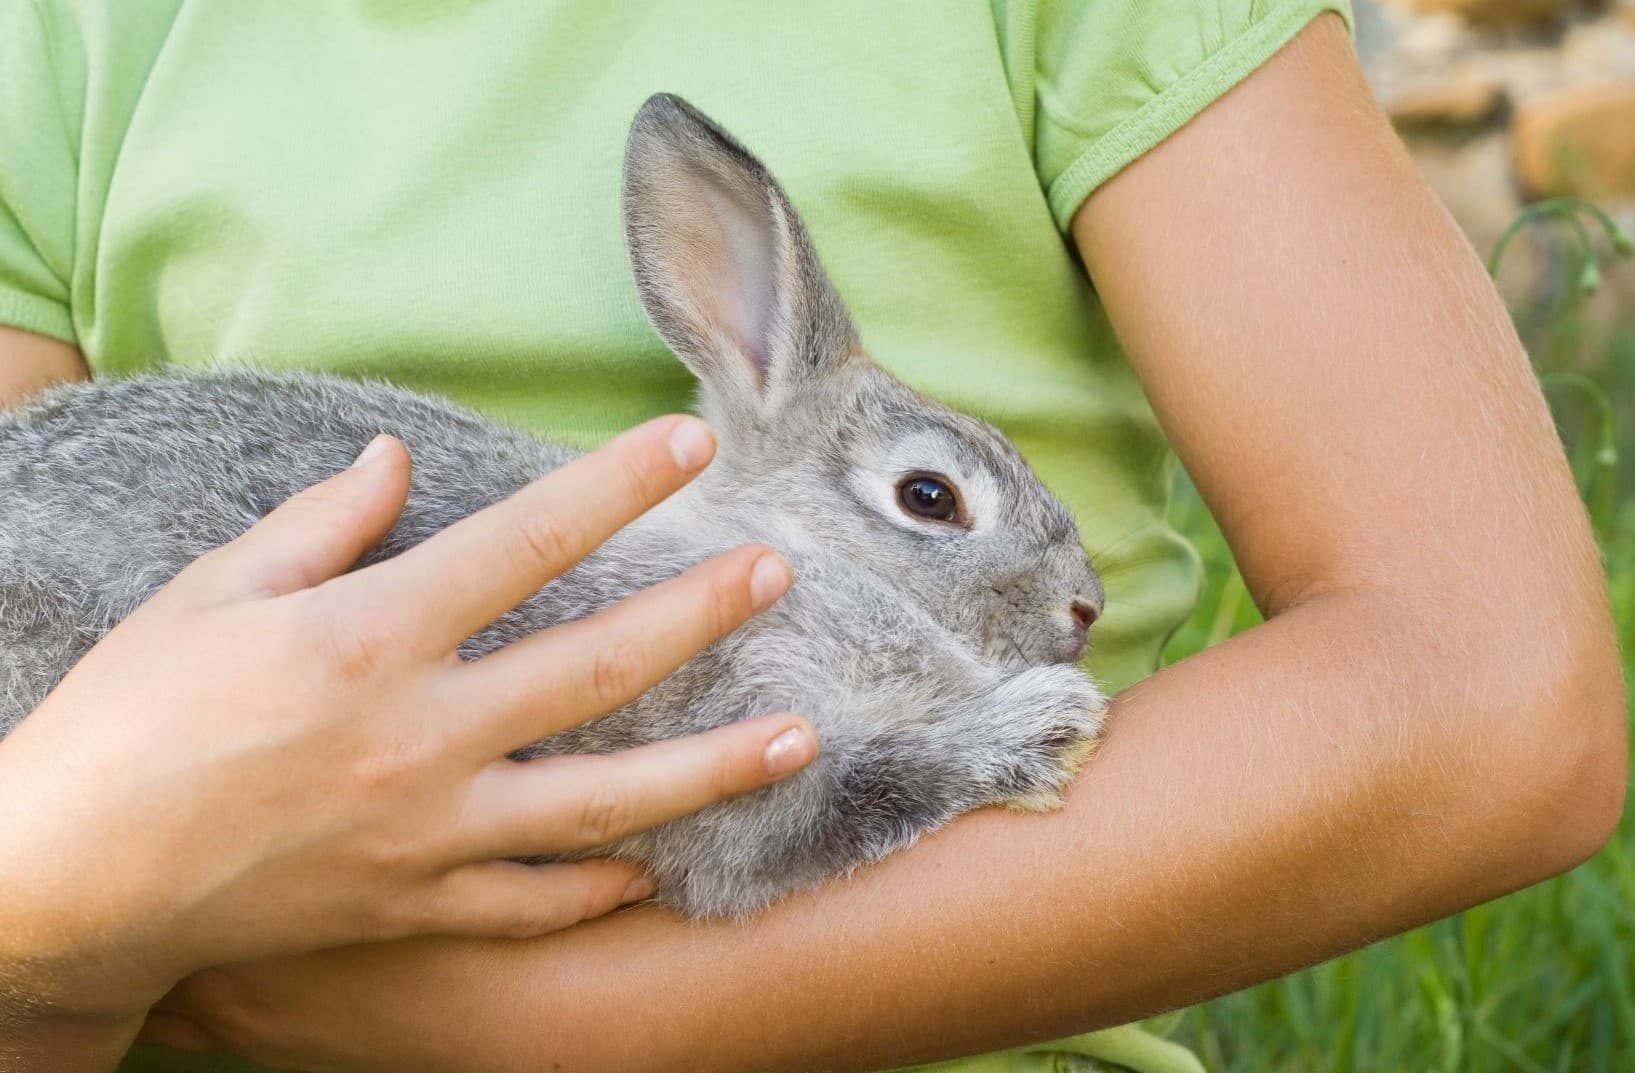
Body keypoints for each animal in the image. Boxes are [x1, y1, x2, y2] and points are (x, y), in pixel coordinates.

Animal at [0, 94, 1107, 917]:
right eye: (930, 497)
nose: (1085, 608)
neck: (791, 552)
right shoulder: (732, 746)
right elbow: (857, 793)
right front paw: (1044, 723)